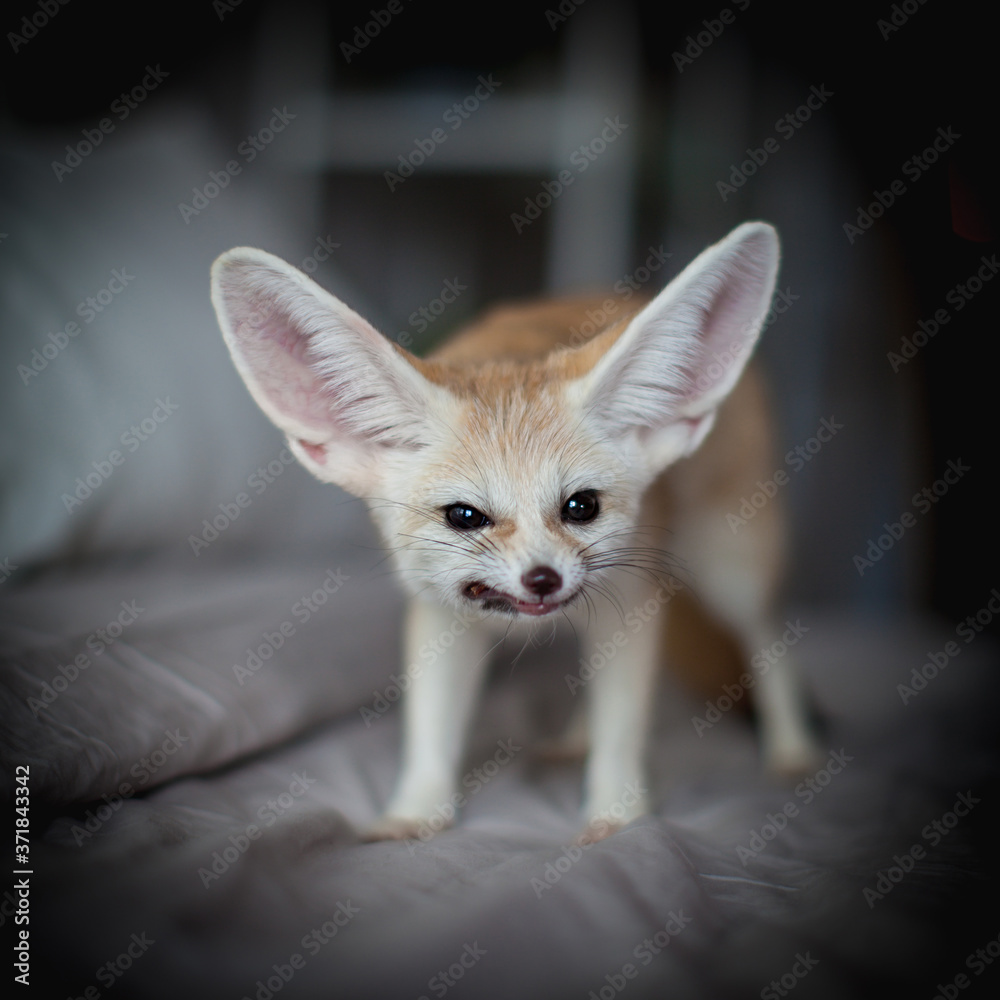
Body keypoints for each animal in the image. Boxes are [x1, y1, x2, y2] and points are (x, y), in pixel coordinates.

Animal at [210, 221, 819, 842]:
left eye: (581, 506)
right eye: (465, 516)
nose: (543, 578)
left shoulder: (632, 601)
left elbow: (622, 730)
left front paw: (617, 817)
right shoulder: (442, 616)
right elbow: (431, 730)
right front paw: (415, 812)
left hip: (731, 571)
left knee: (768, 640)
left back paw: (791, 749)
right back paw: (576, 737)